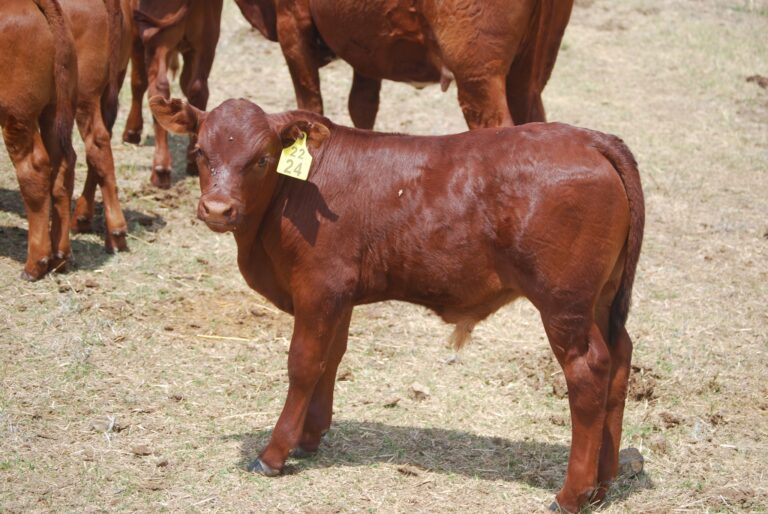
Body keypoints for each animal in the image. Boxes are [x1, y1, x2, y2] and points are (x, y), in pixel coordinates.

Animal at [0, 0, 77, 280]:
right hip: (56, 109)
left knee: (33, 169)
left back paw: (35, 263)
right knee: (64, 164)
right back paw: (59, 256)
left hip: (17, 115)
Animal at [122, 0, 223, 189]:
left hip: (157, 39)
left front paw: (132, 131)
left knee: (159, 88)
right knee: (198, 88)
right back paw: (193, 160)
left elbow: (138, 81)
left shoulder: (135, 34)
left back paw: (161, 169)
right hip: (207, 40)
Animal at [150, 95, 645, 514]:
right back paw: (603, 483)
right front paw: (311, 436)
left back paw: (571, 494)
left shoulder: (319, 286)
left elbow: (304, 364)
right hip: (602, 301)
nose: (217, 209)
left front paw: (275, 452)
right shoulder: (340, 296)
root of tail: (589, 138)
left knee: (588, 372)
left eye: (262, 159)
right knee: (619, 363)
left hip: (564, 305)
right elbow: (331, 358)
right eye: (200, 152)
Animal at [235, 0, 573, 129]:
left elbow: (309, 106)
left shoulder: (292, 23)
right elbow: (362, 106)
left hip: (478, 78)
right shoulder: (366, 48)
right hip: (528, 73)